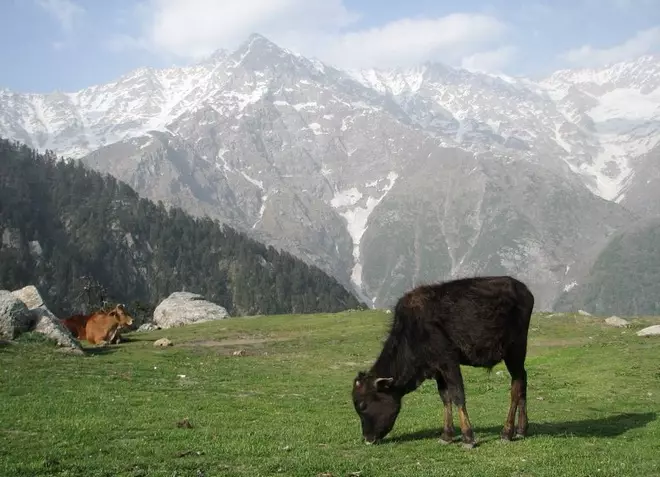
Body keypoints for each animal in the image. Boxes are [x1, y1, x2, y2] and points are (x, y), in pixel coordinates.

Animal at [354, 276, 532, 446]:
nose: (367, 438)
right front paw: (447, 435)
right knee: (522, 381)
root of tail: (523, 288)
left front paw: (468, 437)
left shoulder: (449, 360)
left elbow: (458, 395)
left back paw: (507, 432)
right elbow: (445, 397)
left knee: (516, 386)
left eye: (362, 405)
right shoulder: (437, 369)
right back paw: (521, 430)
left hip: (515, 350)